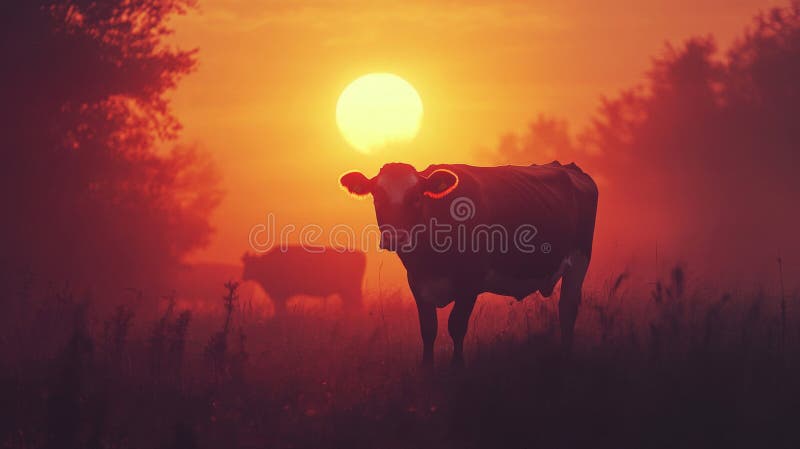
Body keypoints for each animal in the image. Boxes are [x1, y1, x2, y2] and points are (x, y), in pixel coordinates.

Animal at [340, 161, 598, 366]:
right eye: (377, 197)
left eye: (416, 197)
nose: (396, 237)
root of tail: (568, 168)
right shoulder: (418, 283)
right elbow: (428, 329)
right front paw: (427, 368)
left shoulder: (470, 283)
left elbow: (456, 325)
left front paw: (457, 366)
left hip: (580, 261)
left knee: (567, 309)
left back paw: (566, 356)